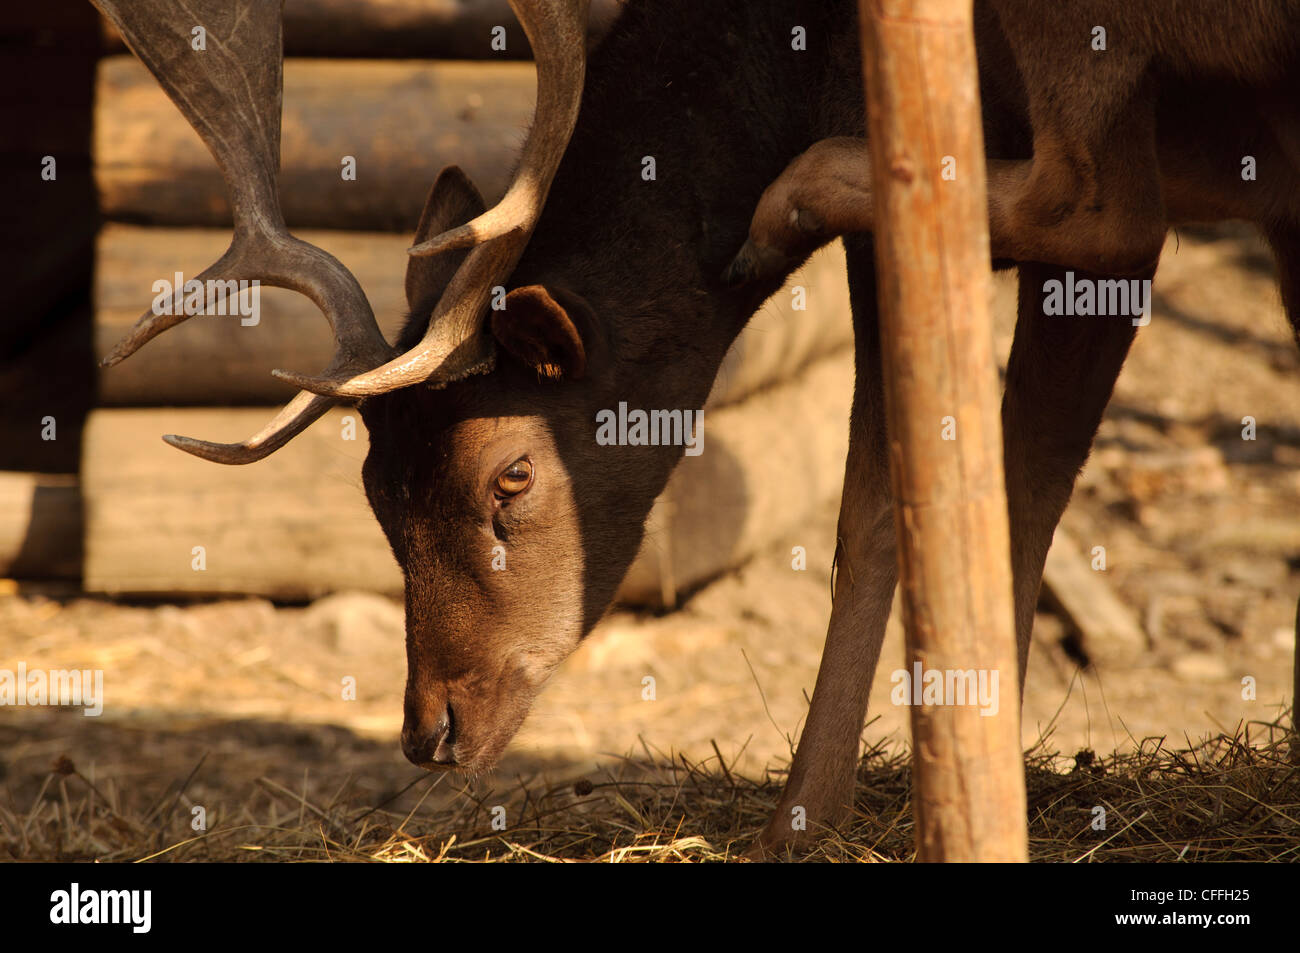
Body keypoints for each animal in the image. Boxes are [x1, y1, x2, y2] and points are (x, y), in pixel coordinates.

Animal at [92, 0, 1300, 859]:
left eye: (511, 473)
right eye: (374, 491)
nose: (430, 727)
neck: (810, 55)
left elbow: (1009, 500)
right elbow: (875, 511)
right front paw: (798, 824)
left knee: (1102, 202)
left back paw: (781, 204)